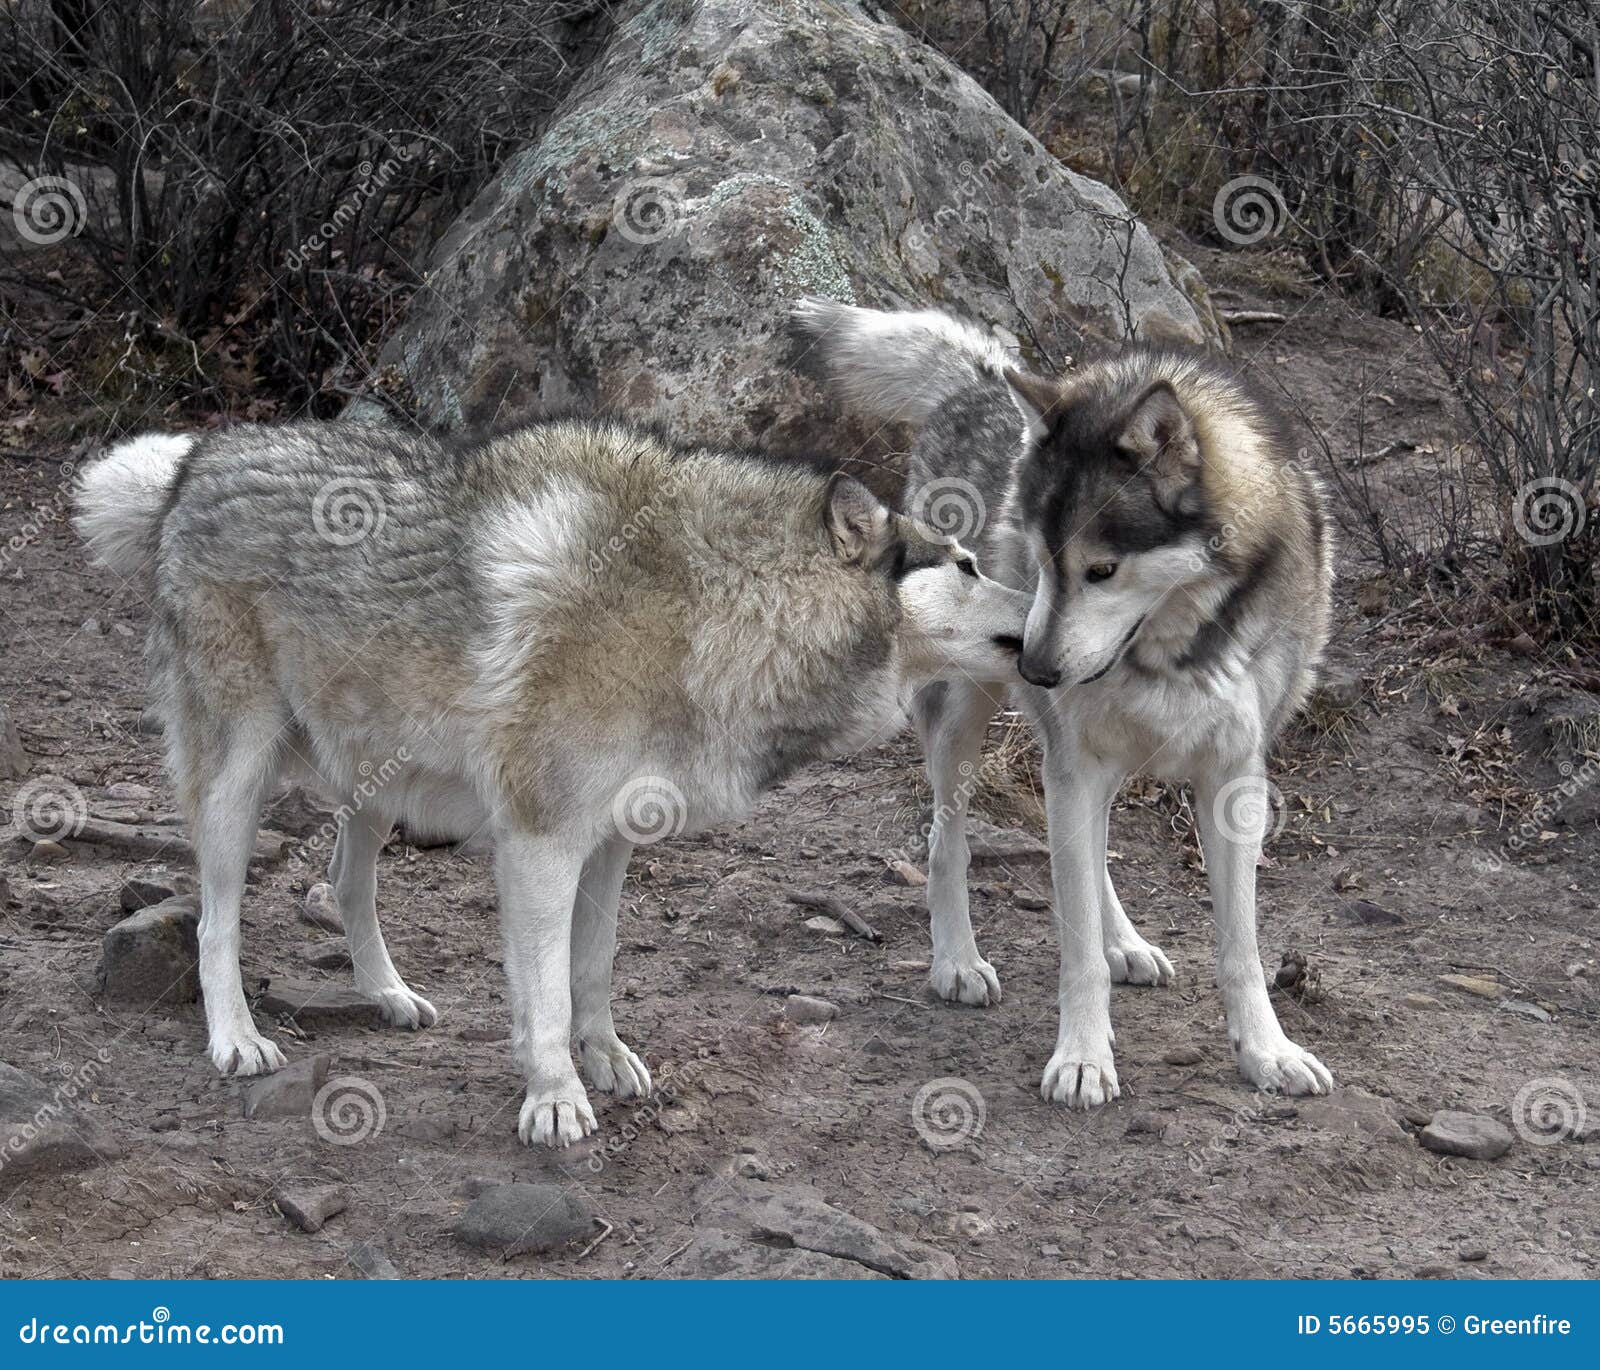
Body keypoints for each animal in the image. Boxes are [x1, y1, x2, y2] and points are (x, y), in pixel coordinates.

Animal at [75, 418, 1032, 1146]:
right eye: (968, 566)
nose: (1046, 608)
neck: (709, 610)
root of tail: (197, 460)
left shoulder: (610, 843)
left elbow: (594, 970)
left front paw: (603, 1058)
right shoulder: (541, 842)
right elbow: (542, 991)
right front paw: (555, 1099)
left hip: (379, 787)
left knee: (346, 885)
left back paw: (388, 996)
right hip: (239, 781)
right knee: (216, 919)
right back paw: (237, 1040)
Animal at [793, 296, 1335, 1108]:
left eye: (1101, 570)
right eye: (1040, 559)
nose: (1037, 666)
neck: (1172, 654)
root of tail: (977, 381)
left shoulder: (1233, 778)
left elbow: (1241, 946)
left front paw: (1267, 1053)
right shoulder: (1074, 763)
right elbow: (1073, 947)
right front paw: (1082, 1059)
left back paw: (1127, 945)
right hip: (965, 720)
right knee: (946, 842)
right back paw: (957, 961)